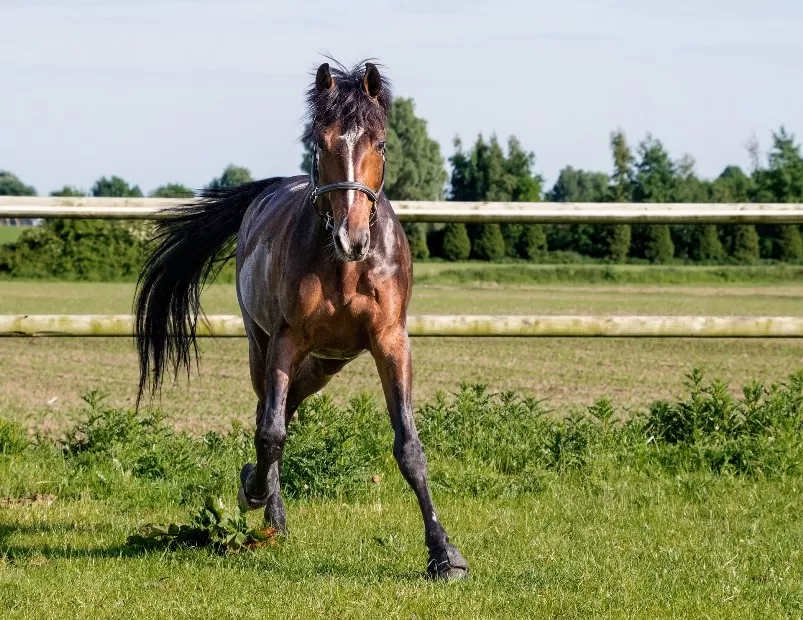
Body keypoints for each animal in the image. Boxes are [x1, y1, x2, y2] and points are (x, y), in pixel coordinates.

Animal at [133, 60, 472, 580]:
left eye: (380, 144)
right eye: (320, 142)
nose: (352, 237)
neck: (346, 267)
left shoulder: (390, 341)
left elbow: (409, 448)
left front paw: (444, 554)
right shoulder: (285, 340)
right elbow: (270, 433)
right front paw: (253, 493)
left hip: (329, 361)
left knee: (289, 404)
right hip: (262, 347)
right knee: (270, 415)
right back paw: (266, 508)